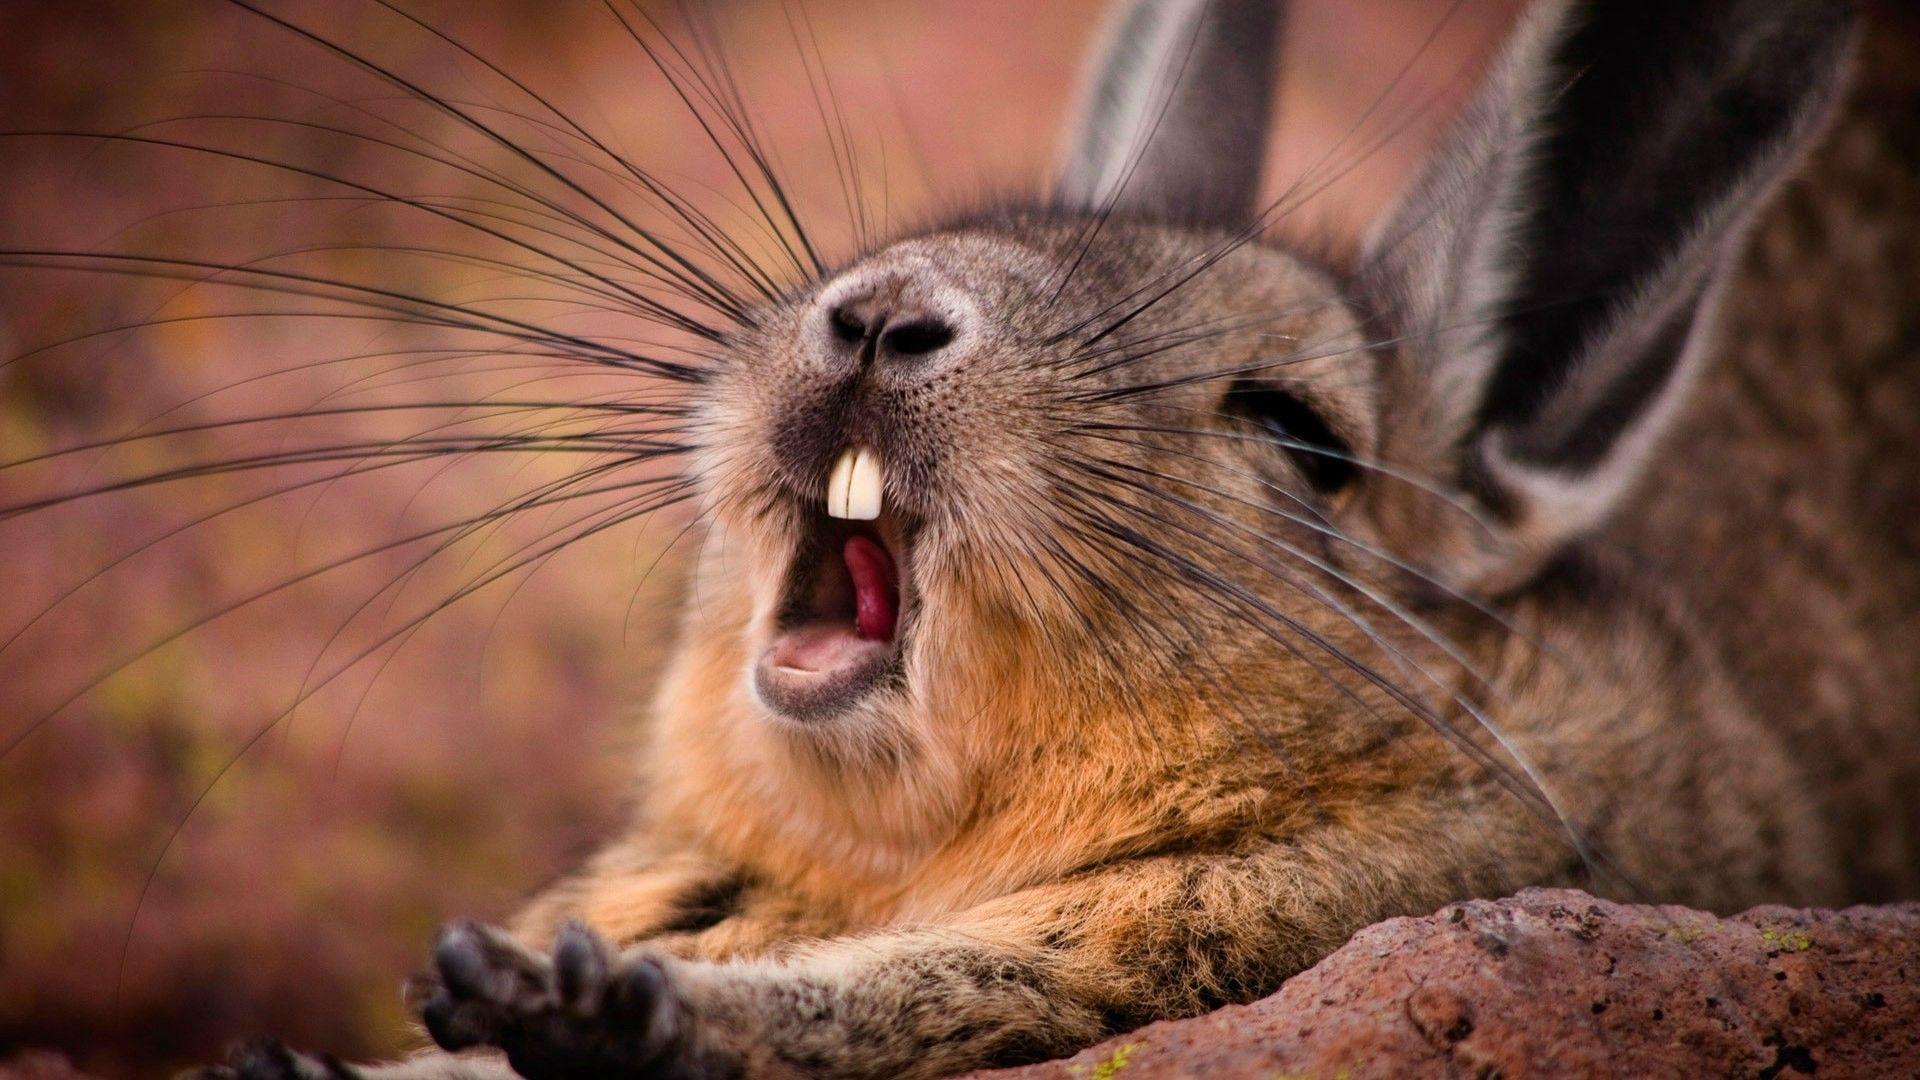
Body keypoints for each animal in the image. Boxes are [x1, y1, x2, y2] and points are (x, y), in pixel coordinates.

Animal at [196, 0, 1920, 1076]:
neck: (882, 852)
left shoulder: (1214, 930)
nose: (883, 316)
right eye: (926, 235)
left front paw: (542, 999)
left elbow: (908, 993)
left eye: (1303, 437)